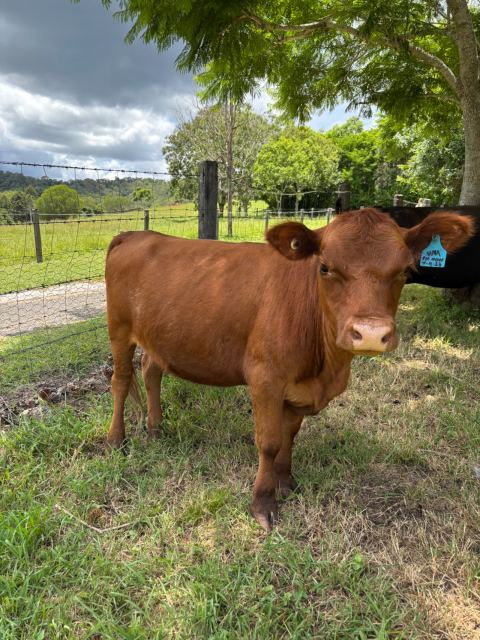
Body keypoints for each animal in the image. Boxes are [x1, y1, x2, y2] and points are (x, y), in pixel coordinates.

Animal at [105, 208, 474, 531]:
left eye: (405, 272)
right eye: (325, 267)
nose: (370, 333)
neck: (325, 369)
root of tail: (135, 234)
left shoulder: (299, 389)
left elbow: (290, 435)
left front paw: (285, 482)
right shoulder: (265, 378)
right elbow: (269, 441)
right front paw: (263, 502)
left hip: (158, 336)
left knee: (151, 371)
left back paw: (155, 430)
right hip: (119, 330)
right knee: (120, 381)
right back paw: (116, 440)